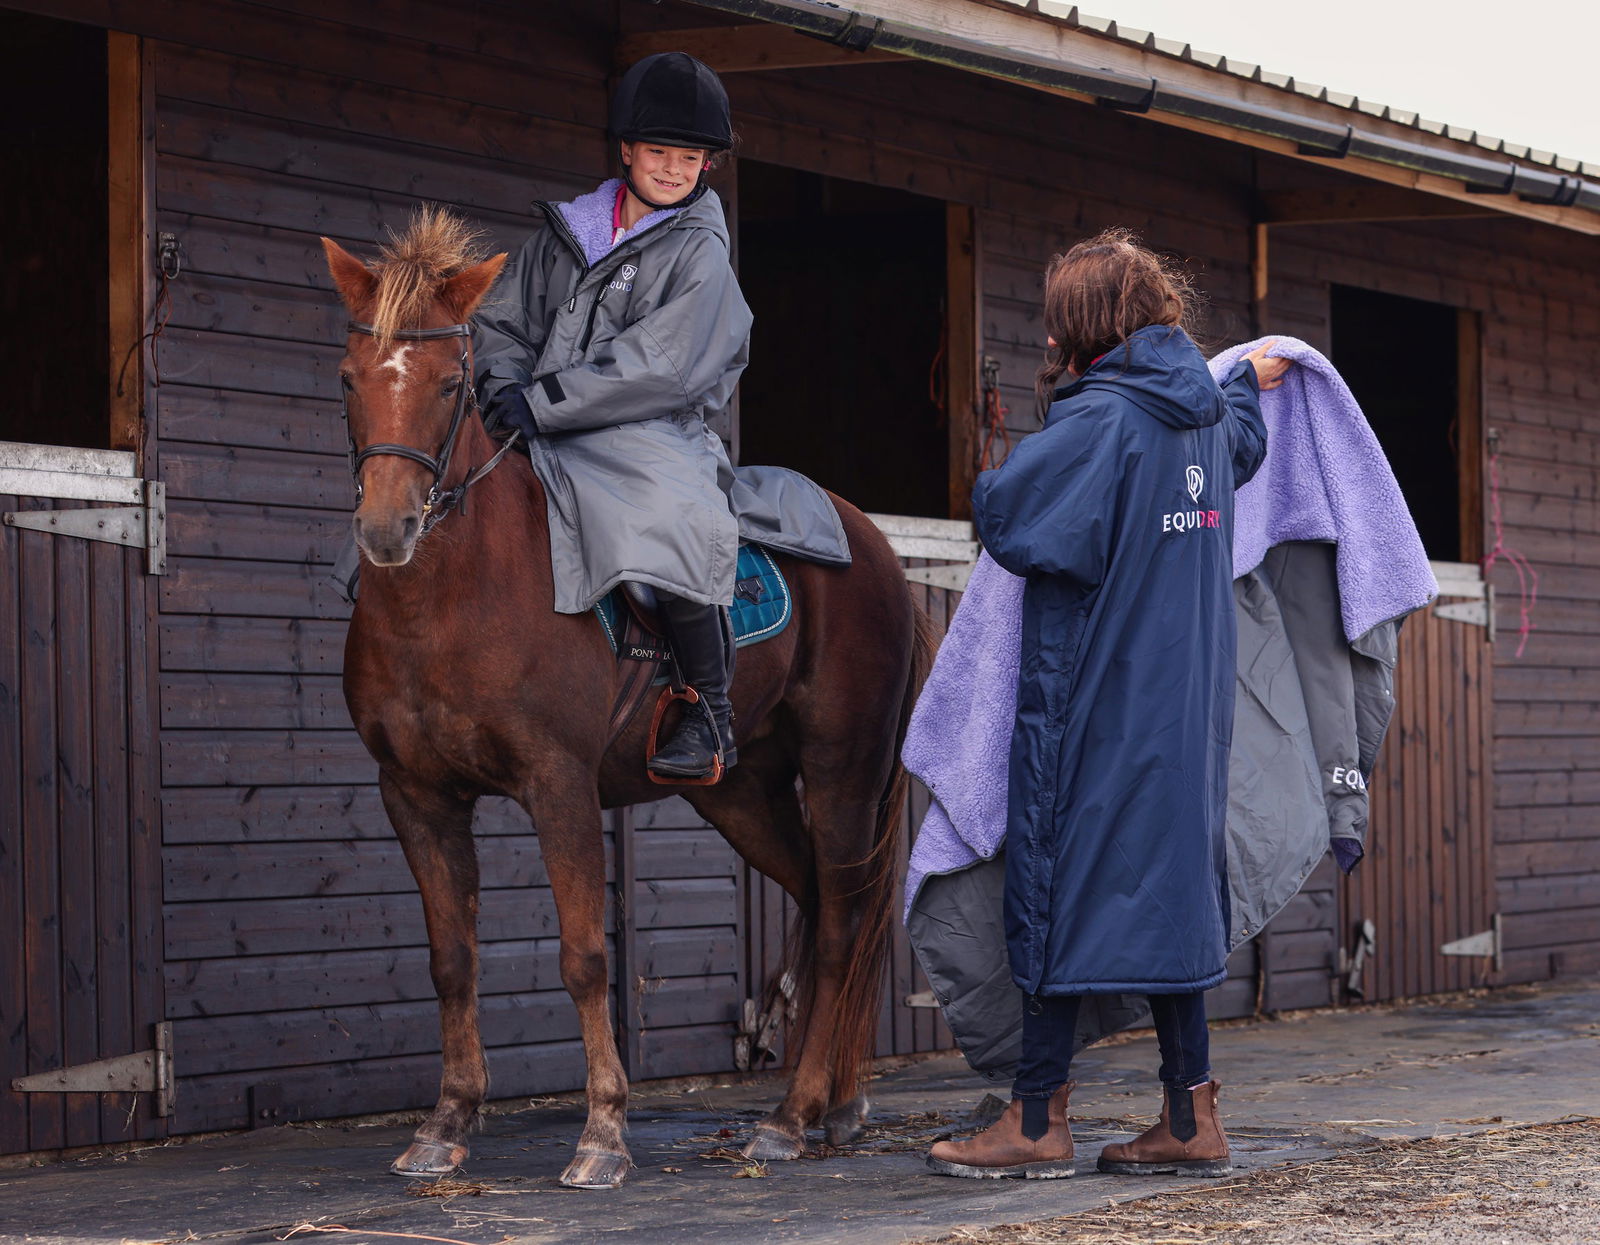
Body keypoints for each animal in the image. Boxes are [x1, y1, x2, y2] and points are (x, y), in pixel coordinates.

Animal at [319, 209, 937, 1189]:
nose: (388, 529)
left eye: (451, 383)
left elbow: (583, 957)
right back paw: (827, 1104)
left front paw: (603, 1132)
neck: (453, 596)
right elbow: (452, 959)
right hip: (739, 790)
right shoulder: (415, 794)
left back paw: (792, 1115)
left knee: (841, 924)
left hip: (843, 772)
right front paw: (445, 1124)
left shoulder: (559, 783)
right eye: (349, 378)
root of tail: (873, 547)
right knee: (812, 899)